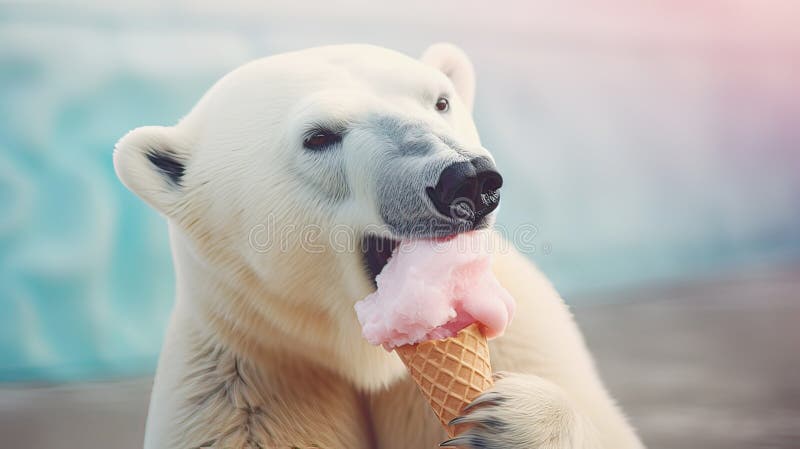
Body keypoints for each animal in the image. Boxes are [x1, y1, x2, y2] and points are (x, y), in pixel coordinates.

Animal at [113, 43, 644, 449]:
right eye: (318, 137)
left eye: (440, 101)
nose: (467, 179)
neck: (369, 361)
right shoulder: (247, 381)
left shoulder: (523, 336)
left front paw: (513, 419)